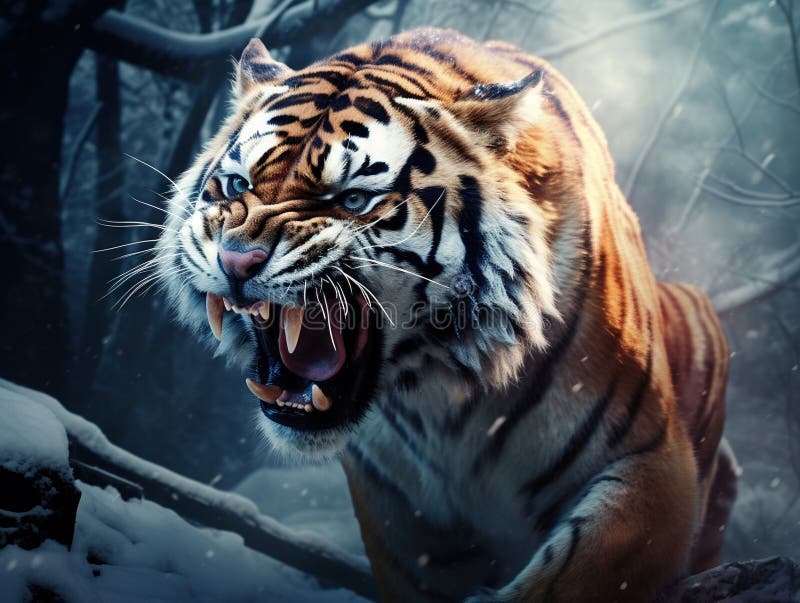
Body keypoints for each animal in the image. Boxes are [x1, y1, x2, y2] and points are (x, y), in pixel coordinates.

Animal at [155, 28, 737, 602]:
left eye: (354, 199)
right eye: (238, 185)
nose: (236, 260)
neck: (444, 391)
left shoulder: (654, 463)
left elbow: (565, 579)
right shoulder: (401, 521)